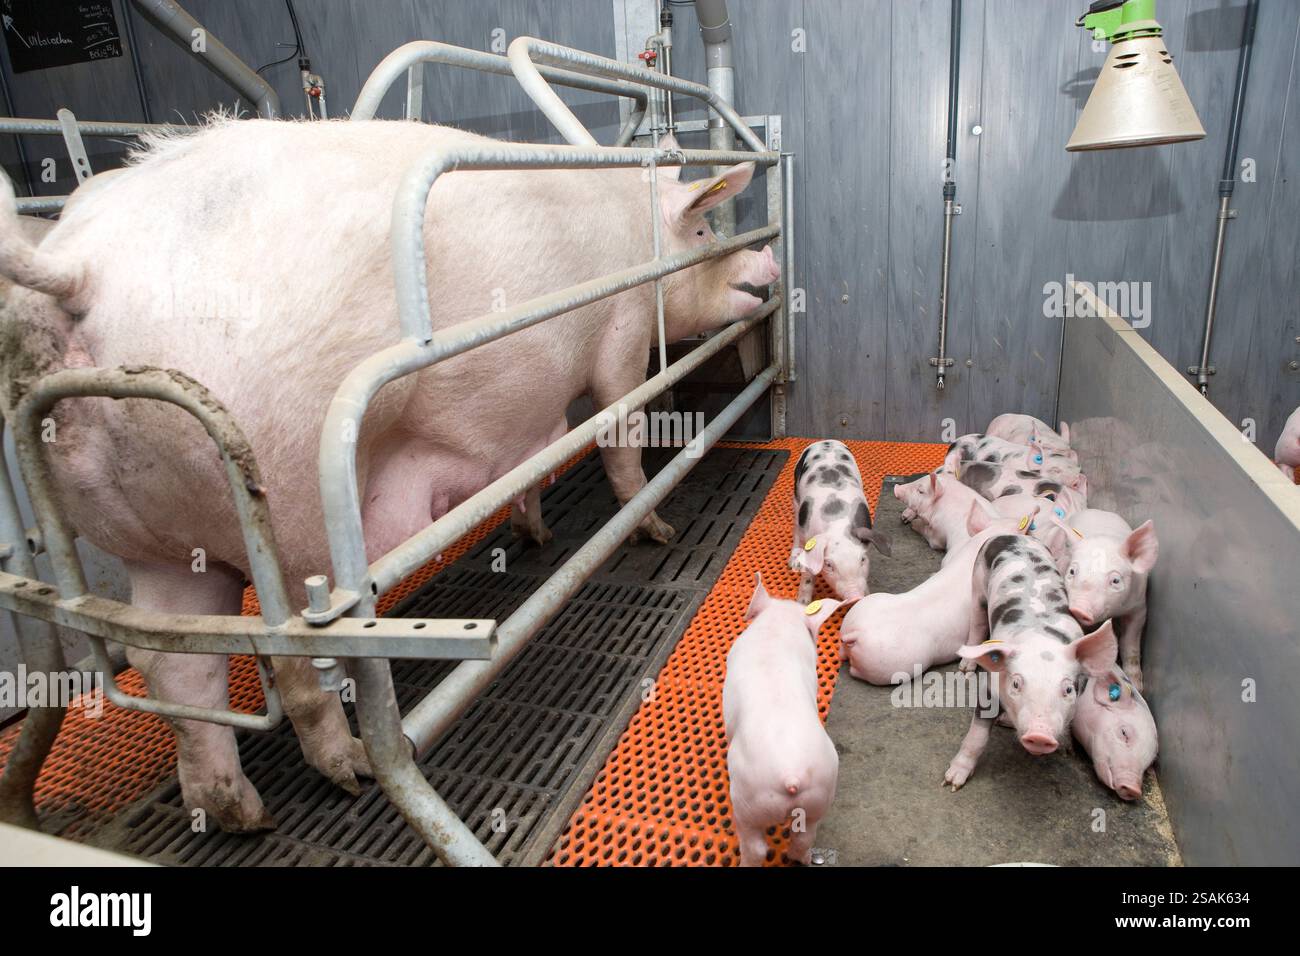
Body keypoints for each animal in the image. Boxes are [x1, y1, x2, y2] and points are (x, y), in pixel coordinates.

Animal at [0, 118, 779, 832]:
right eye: (705, 230)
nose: (769, 264)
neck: (639, 231)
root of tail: (82, 273)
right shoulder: (620, 332)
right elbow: (619, 434)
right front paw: (656, 528)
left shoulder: (527, 409)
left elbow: (529, 464)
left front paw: (535, 535)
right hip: (288, 506)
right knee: (290, 660)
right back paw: (353, 769)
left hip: (148, 534)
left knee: (172, 664)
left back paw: (238, 813)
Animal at [724, 573, 845, 866]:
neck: (777, 625)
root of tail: (792, 775)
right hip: (820, 795)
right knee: (804, 837)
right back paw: (801, 857)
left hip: (747, 800)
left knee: (755, 846)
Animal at [789, 440, 892, 603]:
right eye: (829, 565)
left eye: (863, 559)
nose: (855, 597)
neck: (837, 522)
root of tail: (824, 441)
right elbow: (808, 577)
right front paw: (802, 603)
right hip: (796, 496)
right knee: (796, 530)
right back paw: (794, 562)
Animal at [944, 534, 1118, 790]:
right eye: (1016, 684)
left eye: (1068, 689)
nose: (1040, 734)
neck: (1041, 638)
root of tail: (1014, 536)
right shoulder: (989, 687)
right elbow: (977, 736)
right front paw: (952, 782)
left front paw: (1066, 749)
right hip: (977, 582)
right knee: (977, 621)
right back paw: (965, 669)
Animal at [1058, 510, 1158, 691]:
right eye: (1072, 571)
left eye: (1115, 580)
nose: (1079, 609)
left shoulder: (1139, 607)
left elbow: (1130, 643)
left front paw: (1137, 687)